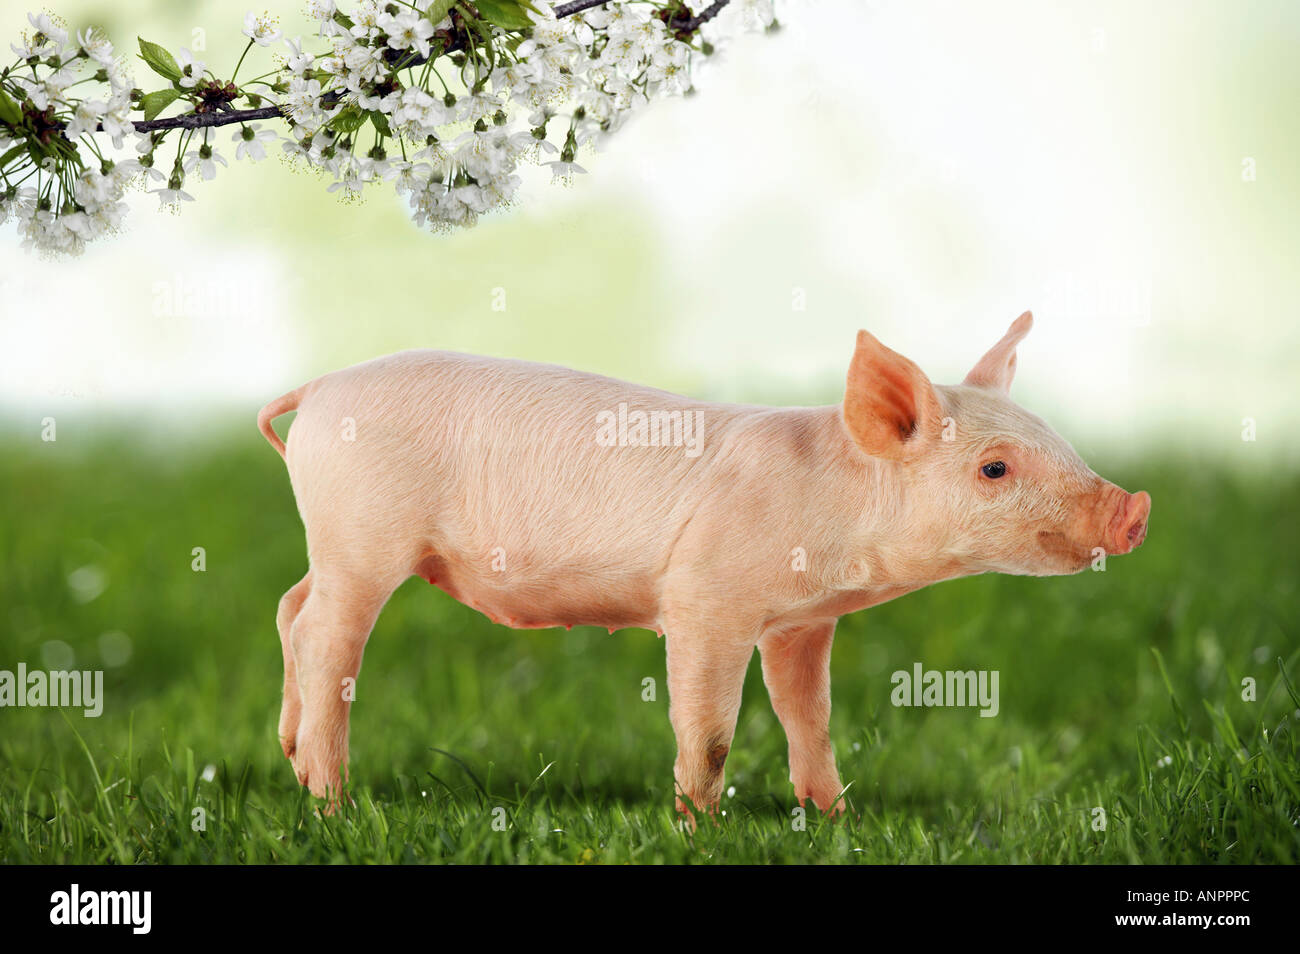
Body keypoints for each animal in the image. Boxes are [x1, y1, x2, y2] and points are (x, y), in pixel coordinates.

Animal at [258, 311, 1150, 818]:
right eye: (994, 469)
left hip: (330, 542)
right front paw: (700, 827)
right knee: (328, 637)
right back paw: (335, 806)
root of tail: (321, 388)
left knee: (289, 606)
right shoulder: (704, 595)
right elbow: (712, 726)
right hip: (364, 537)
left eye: (1056, 438)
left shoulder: (802, 622)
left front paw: (836, 820)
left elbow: (808, 714)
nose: (1134, 506)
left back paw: (290, 760)